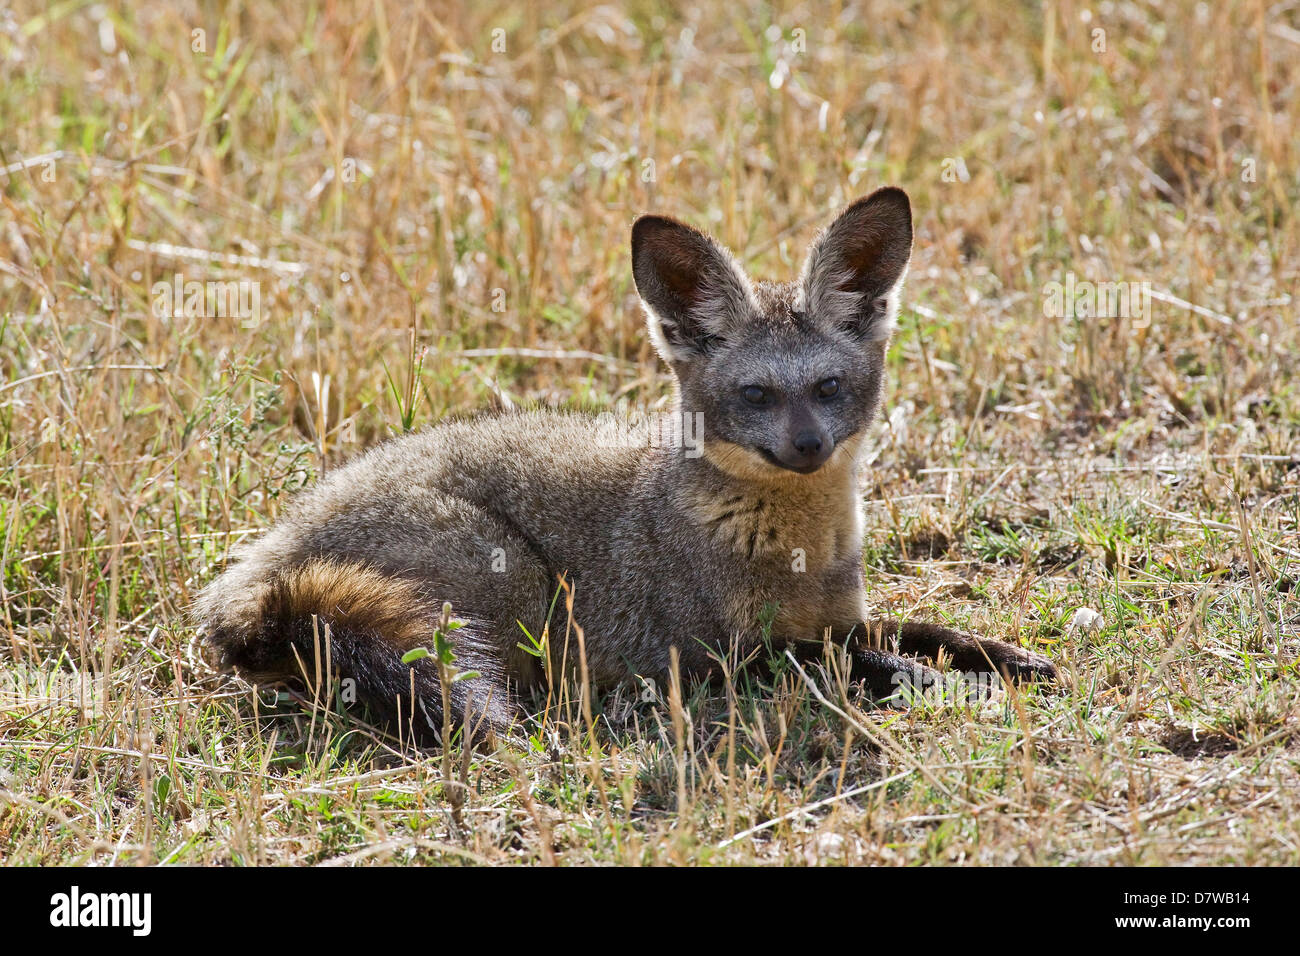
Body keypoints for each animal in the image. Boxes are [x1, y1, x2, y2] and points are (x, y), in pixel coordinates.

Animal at [196, 186, 1056, 743]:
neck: (799, 555)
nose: (808, 448)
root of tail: (249, 572)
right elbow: (877, 663)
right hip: (522, 588)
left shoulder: (838, 618)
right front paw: (955, 686)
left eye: (828, 388)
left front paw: (1003, 656)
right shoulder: (732, 655)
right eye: (754, 395)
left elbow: (922, 629)